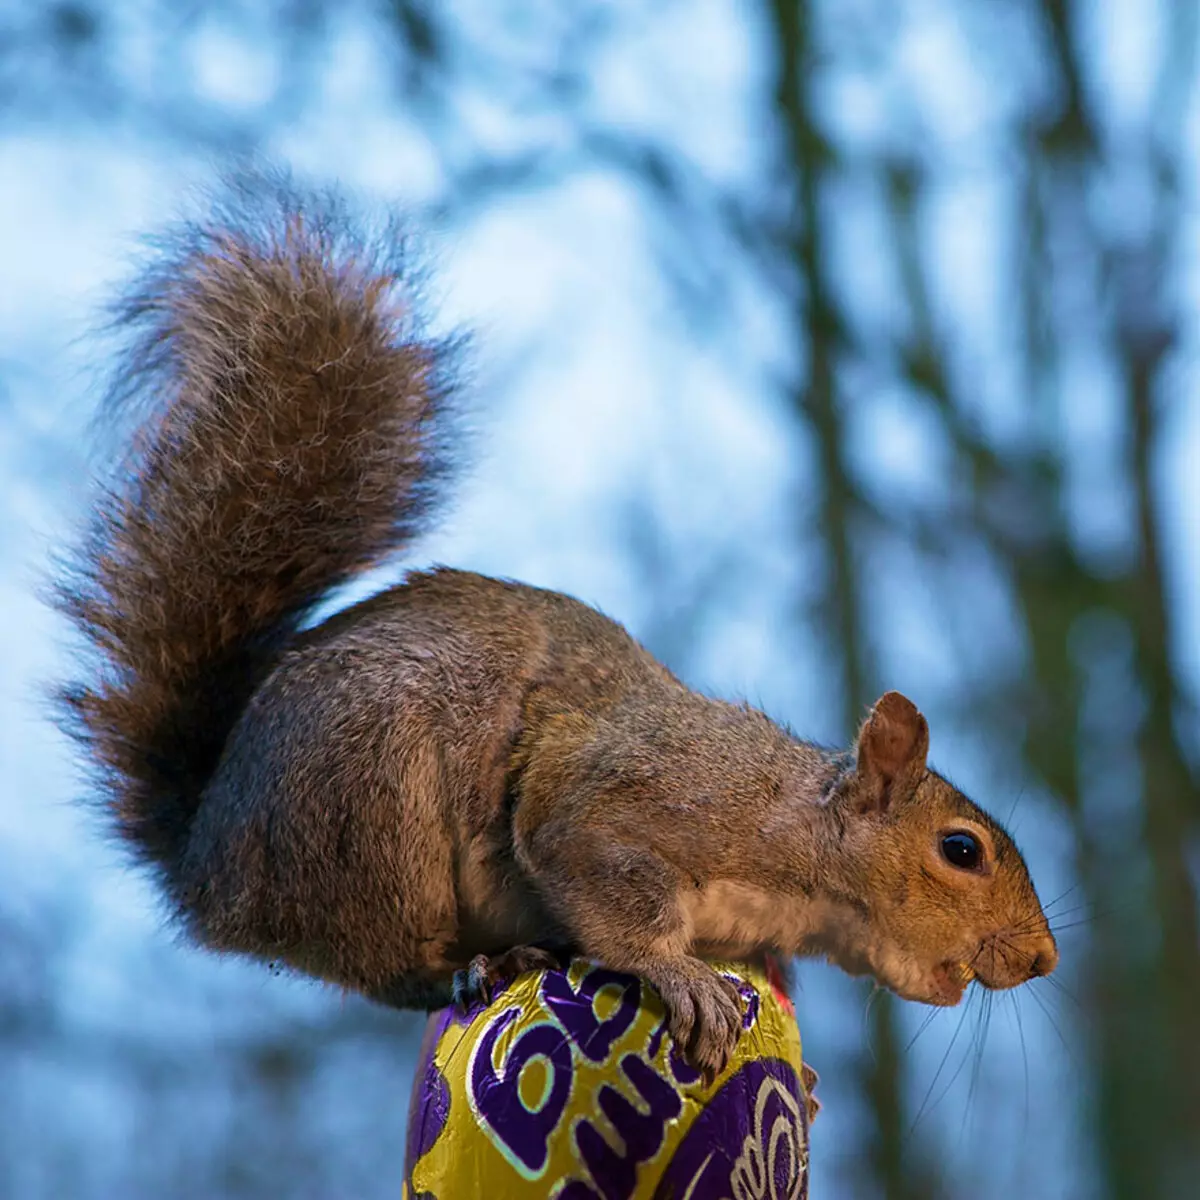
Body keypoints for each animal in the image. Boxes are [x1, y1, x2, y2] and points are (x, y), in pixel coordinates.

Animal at [56, 174, 1056, 1084]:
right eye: (962, 851)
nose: (1043, 958)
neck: (793, 829)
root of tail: (203, 863)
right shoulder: (639, 799)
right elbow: (584, 853)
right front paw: (677, 976)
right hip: (369, 814)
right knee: (386, 963)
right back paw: (481, 963)